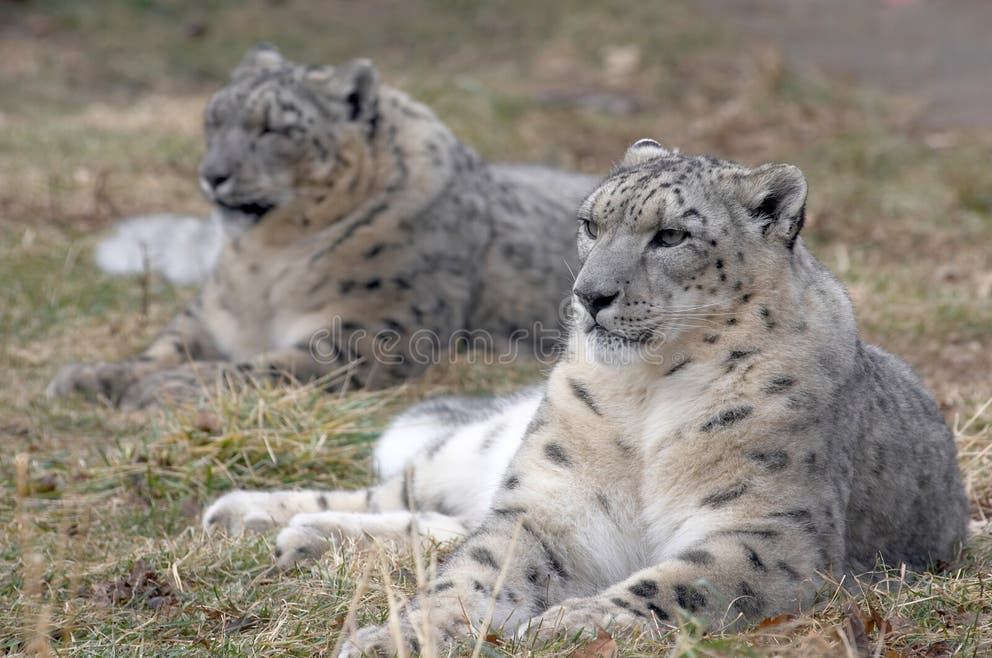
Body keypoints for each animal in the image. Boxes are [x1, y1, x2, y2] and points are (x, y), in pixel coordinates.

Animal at [47, 44, 596, 408]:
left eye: (274, 128)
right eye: (213, 117)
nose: (212, 174)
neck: (263, 264)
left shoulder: (368, 334)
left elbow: (264, 364)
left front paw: (167, 387)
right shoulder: (212, 315)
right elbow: (168, 344)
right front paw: (94, 376)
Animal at [304, 138, 965, 655]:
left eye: (671, 235)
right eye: (591, 225)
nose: (589, 293)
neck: (646, 394)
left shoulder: (770, 529)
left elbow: (684, 579)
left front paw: (575, 620)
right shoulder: (549, 501)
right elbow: (478, 569)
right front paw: (399, 635)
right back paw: (283, 521)